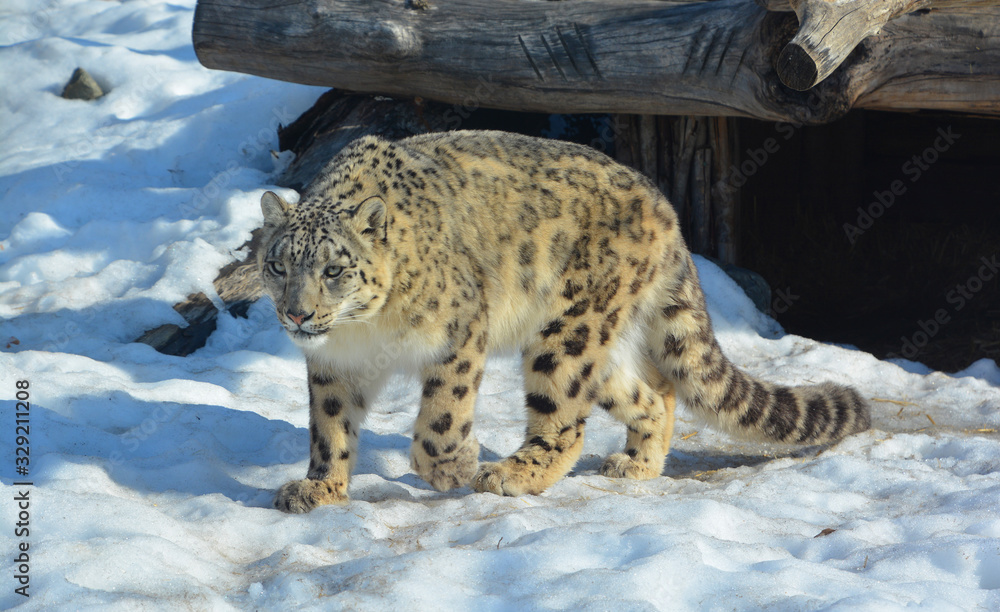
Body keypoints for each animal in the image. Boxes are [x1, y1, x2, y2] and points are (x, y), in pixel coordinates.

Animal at [257, 130, 870, 513]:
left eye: (335, 269)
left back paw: (512, 472)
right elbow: (330, 426)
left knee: (564, 419)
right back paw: (637, 463)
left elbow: (441, 418)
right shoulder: (333, 366)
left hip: (567, 332)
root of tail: (664, 206)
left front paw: (453, 466)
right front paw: (320, 489)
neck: (362, 332)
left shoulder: (460, 333)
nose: (297, 312)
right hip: (589, 342)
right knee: (650, 392)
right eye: (278, 264)